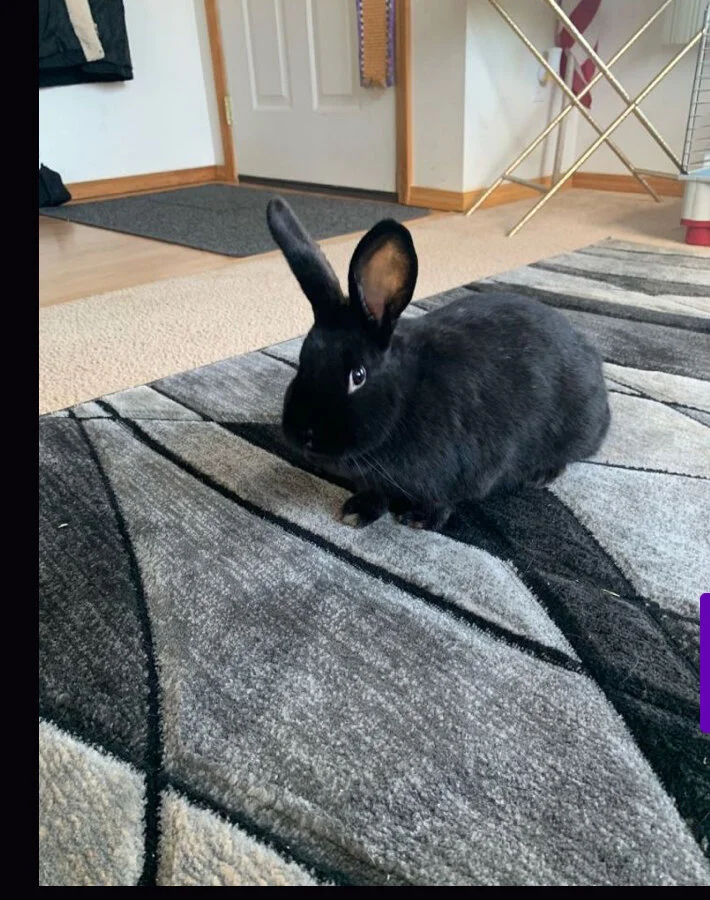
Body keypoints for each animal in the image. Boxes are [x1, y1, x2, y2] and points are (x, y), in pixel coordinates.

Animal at [266, 196, 610, 531]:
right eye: (302, 360)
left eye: (358, 375)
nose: (303, 434)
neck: (406, 394)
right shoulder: (374, 479)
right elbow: (375, 492)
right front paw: (356, 511)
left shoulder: (466, 470)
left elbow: (443, 501)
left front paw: (419, 519)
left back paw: (540, 475)